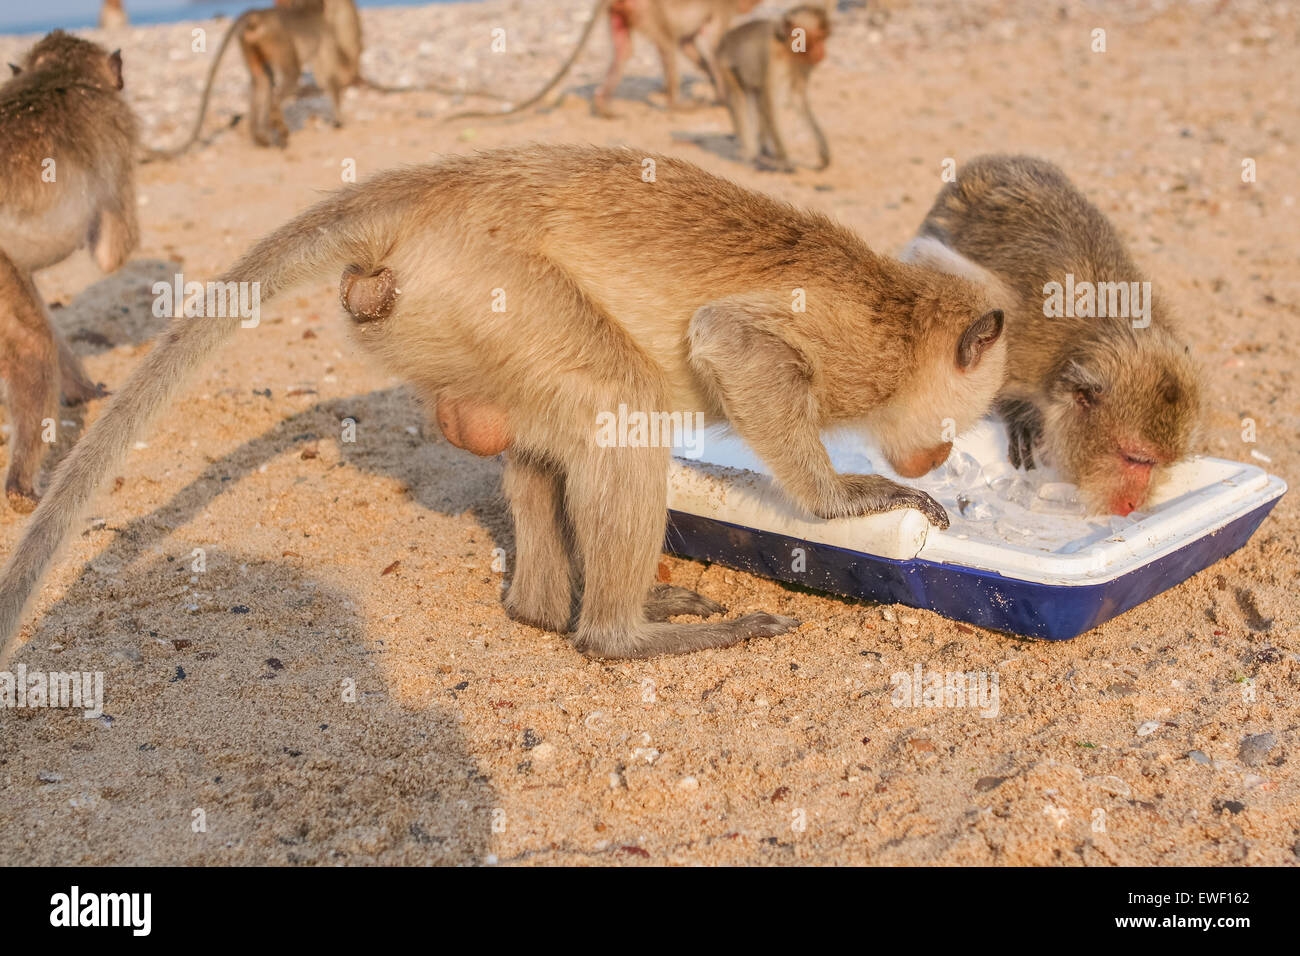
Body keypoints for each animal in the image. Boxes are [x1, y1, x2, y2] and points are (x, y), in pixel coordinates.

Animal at [0, 32, 139, 514]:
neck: (60, 75)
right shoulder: (119, 136)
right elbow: (113, 254)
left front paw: (84, 391)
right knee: (32, 342)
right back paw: (20, 486)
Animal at [0, 145, 1006, 663]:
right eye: (957, 424)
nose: (934, 456)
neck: (900, 315)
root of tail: (427, 190)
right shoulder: (853, 348)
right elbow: (728, 339)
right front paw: (849, 500)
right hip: (483, 285)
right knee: (619, 405)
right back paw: (615, 636)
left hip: (445, 322)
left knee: (545, 440)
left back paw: (544, 609)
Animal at [444, 0, 761, 122]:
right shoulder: (723, 8)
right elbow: (711, 46)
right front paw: (724, 96)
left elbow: (693, 46)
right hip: (647, 9)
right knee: (666, 45)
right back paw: (677, 105)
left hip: (622, 12)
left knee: (625, 51)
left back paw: (604, 105)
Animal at [716, 4, 831, 172]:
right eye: (817, 37)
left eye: (824, 38)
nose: (823, 52)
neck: (787, 47)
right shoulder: (769, 54)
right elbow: (769, 100)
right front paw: (784, 160)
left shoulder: (803, 62)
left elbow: (796, 97)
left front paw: (824, 154)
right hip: (725, 64)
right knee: (740, 98)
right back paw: (750, 153)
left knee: (756, 99)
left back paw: (763, 149)